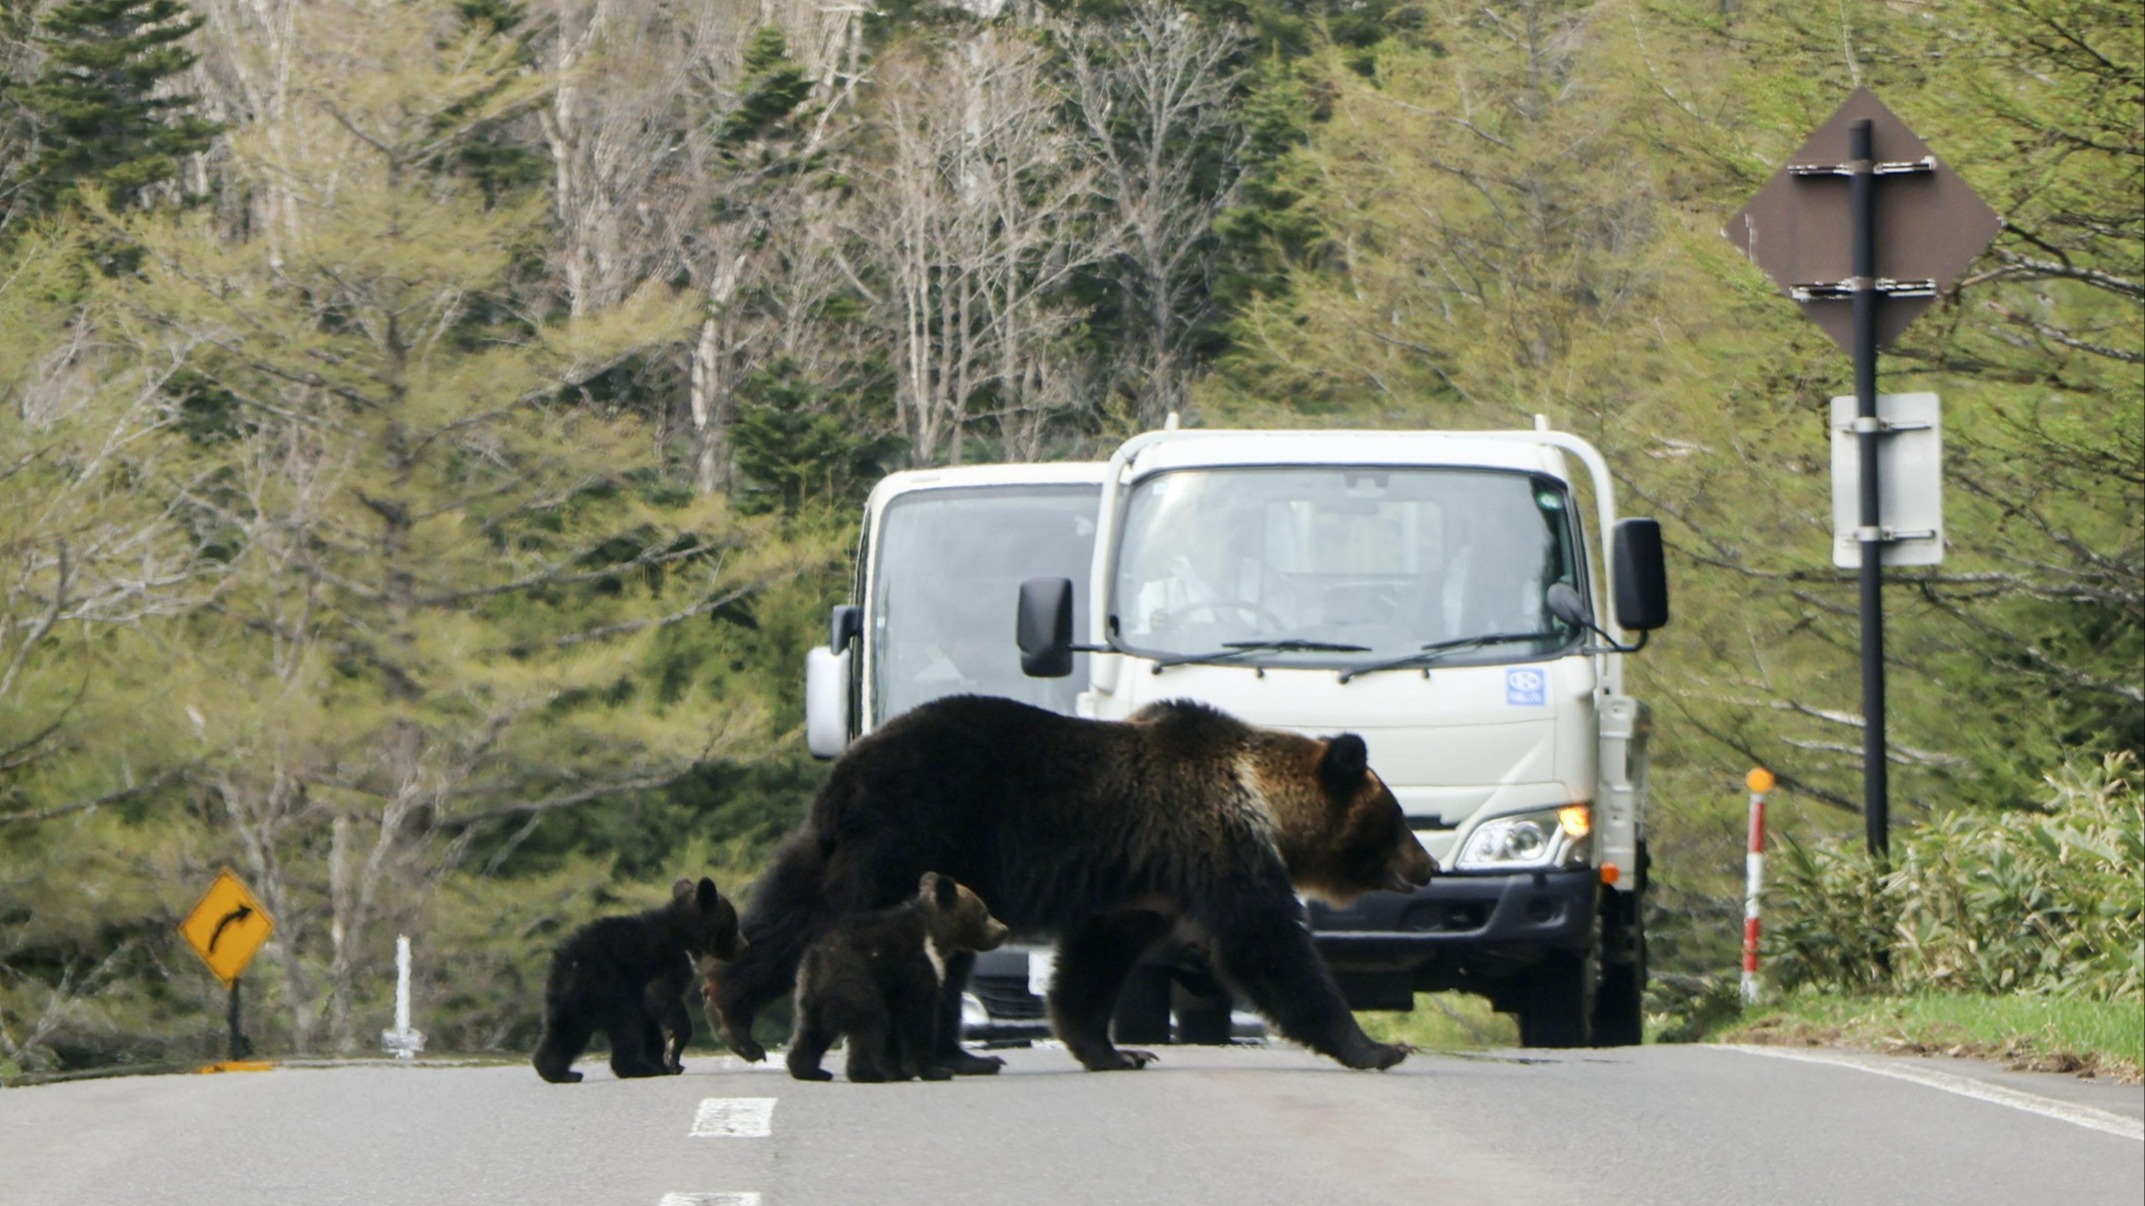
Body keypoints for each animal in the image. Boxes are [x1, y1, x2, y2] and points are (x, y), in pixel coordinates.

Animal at [532, 875, 743, 1083]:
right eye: (733, 923)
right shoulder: (669, 959)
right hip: (606, 988)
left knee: (567, 1032)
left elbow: (650, 1019)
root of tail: (564, 964)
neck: (684, 934)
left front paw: (665, 1061)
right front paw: (672, 1054)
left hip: (572, 1000)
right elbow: (659, 994)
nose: (744, 945)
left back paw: (558, 1072)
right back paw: (636, 1068)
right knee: (625, 1026)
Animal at [787, 872, 1011, 1083]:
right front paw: (934, 1070)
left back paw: (810, 1070)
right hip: (855, 980)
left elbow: (896, 1023)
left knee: (812, 1031)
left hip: (811, 993)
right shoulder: (914, 966)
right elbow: (918, 1015)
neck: (935, 936)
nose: (1003, 930)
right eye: (984, 913)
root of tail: (817, 958)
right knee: (869, 1024)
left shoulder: (893, 984)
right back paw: (869, 1073)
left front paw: (898, 1070)